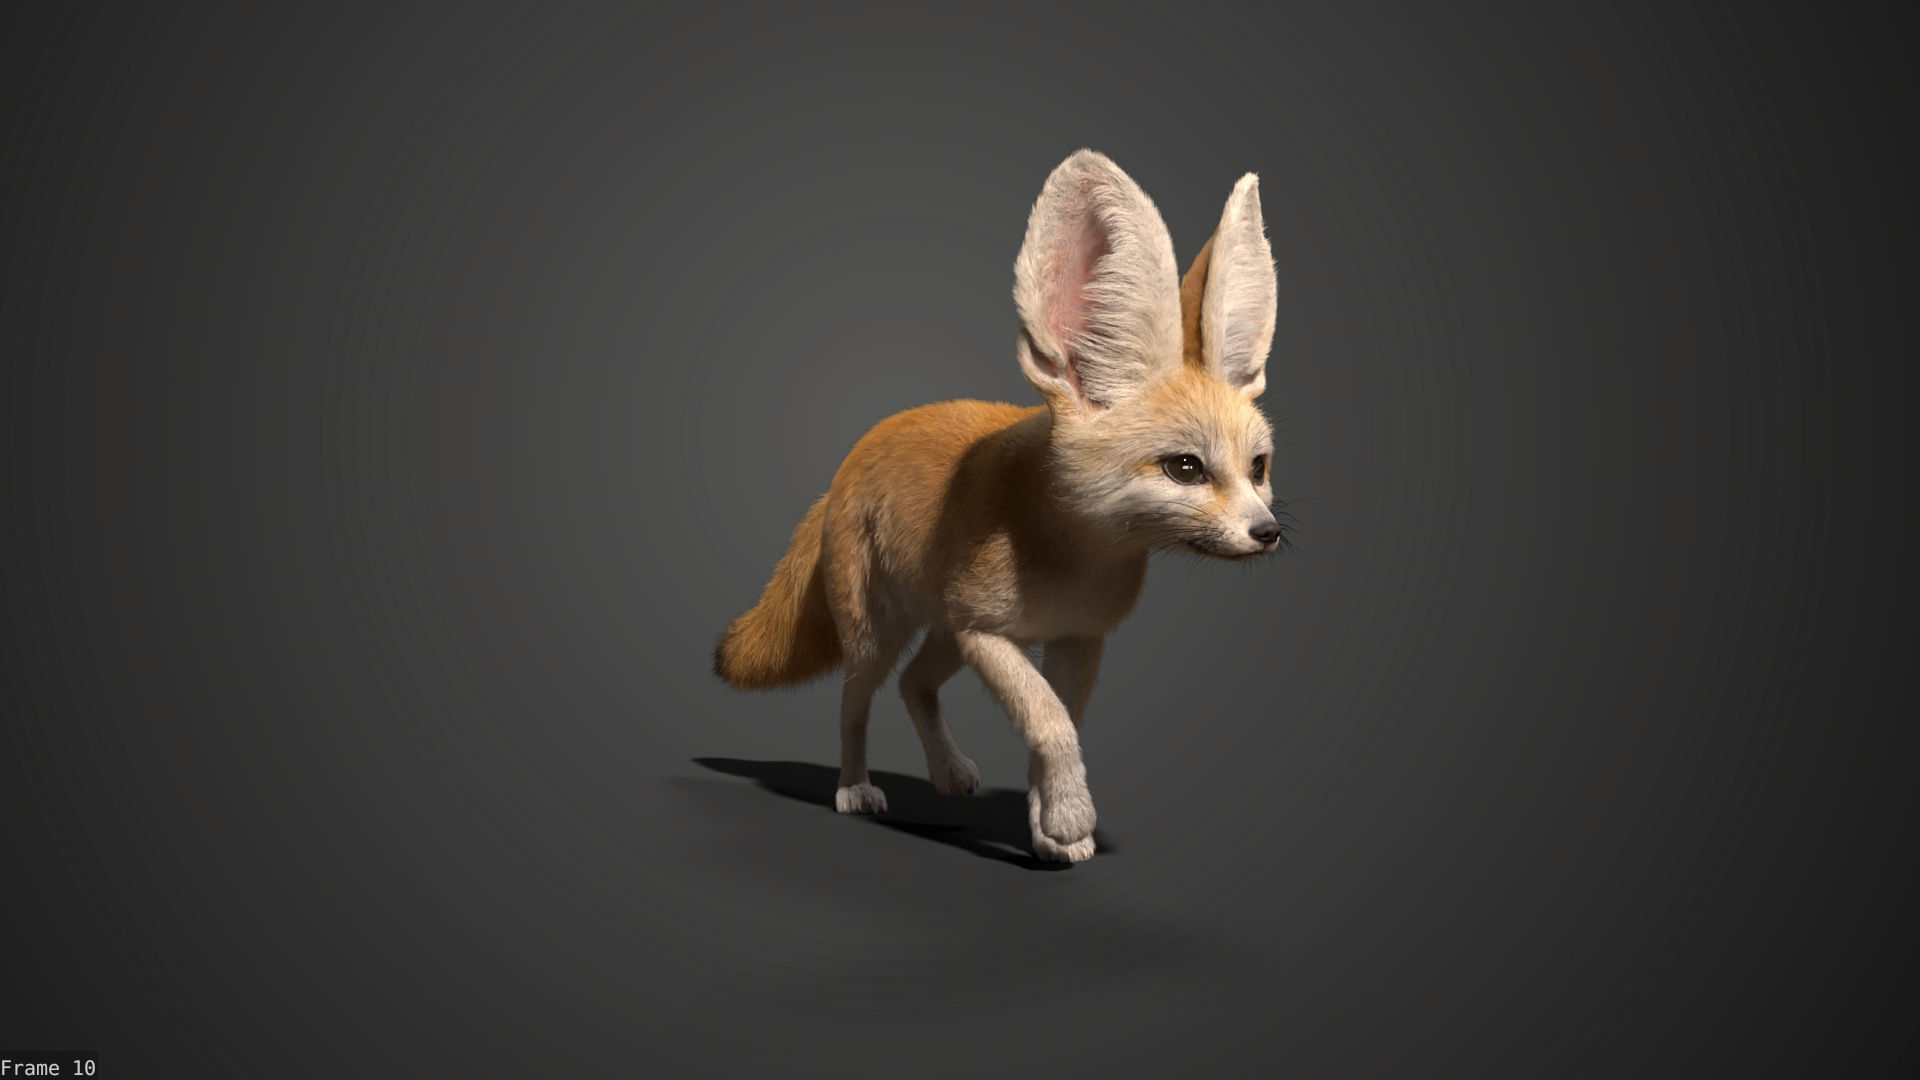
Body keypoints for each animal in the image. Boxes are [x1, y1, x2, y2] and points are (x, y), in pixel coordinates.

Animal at [712, 149, 1283, 863]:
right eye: (1186, 468)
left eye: (1258, 468)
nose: (1269, 532)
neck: (1071, 559)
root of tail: (852, 457)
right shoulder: (988, 633)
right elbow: (1048, 720)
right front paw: (1069, 815)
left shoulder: (1076, 637)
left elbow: (1058, 722)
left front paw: (1047, 825)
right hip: (881, 636)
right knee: (854, 703)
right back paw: (854, 788)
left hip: (943, 633)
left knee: (913, 683)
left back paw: (948, 771)